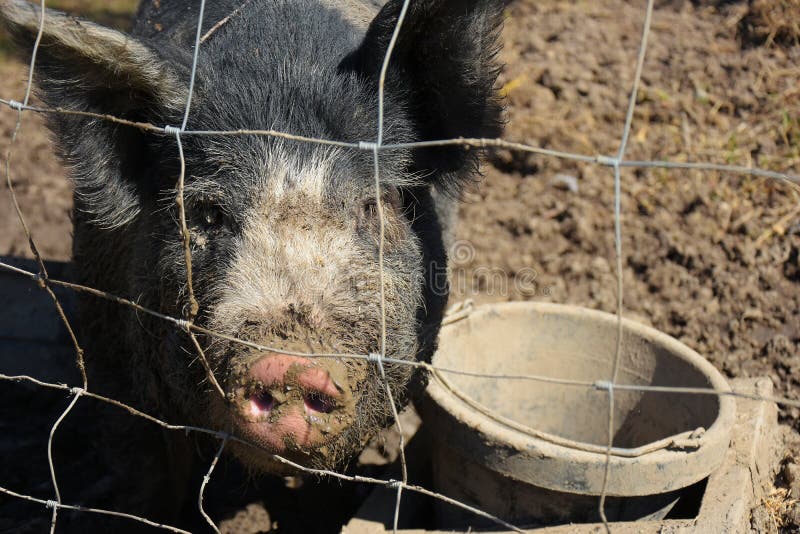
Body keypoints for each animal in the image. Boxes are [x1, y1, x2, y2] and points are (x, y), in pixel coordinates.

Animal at [1, 0, 503, 526]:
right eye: (207, 213)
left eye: (373, 206)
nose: (292, 363)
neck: (282, 59)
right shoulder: (109, 355)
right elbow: (146, 473)